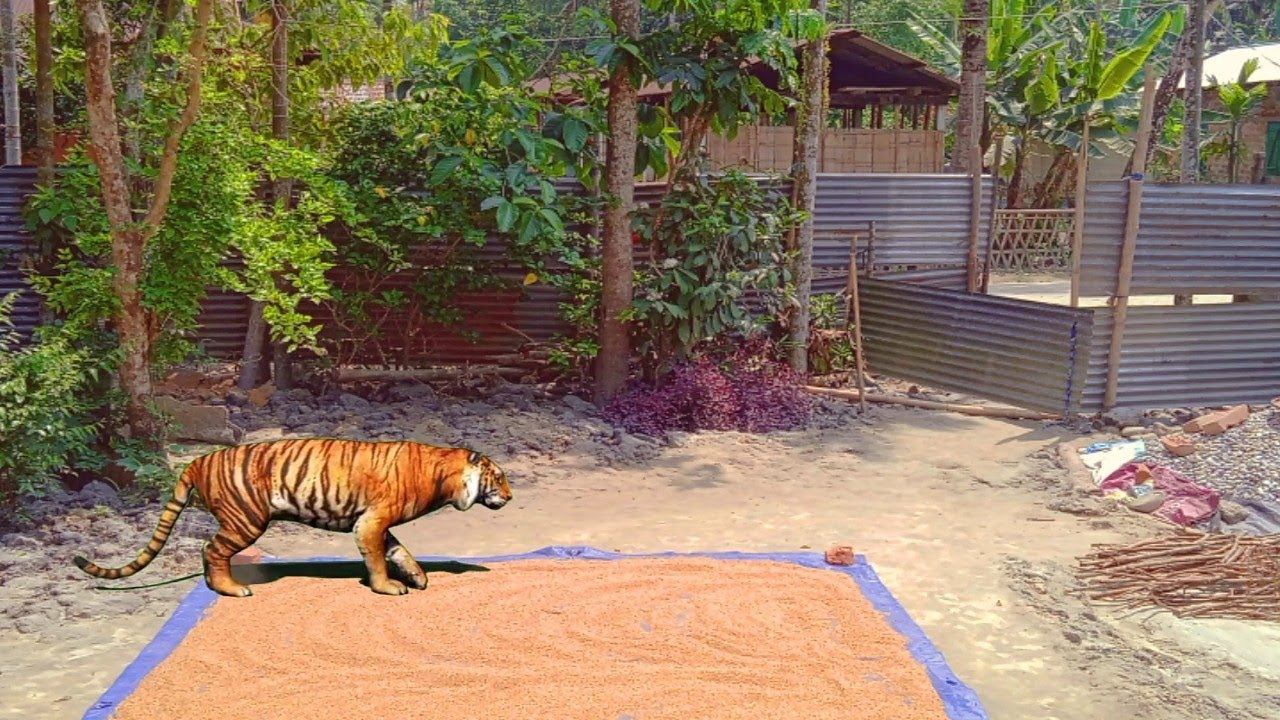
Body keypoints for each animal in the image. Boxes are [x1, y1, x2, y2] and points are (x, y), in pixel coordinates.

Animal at [73, 439, 513, 598]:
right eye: (499, 477)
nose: (510, 496)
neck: (442, 475)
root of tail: (199, 459)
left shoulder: (374, 524)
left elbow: (398, 550)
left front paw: (418, 577)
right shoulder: (370, 521)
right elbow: (376, 558)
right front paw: (388, 588)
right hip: (246, 519)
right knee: (211, 549)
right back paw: (232, 589)